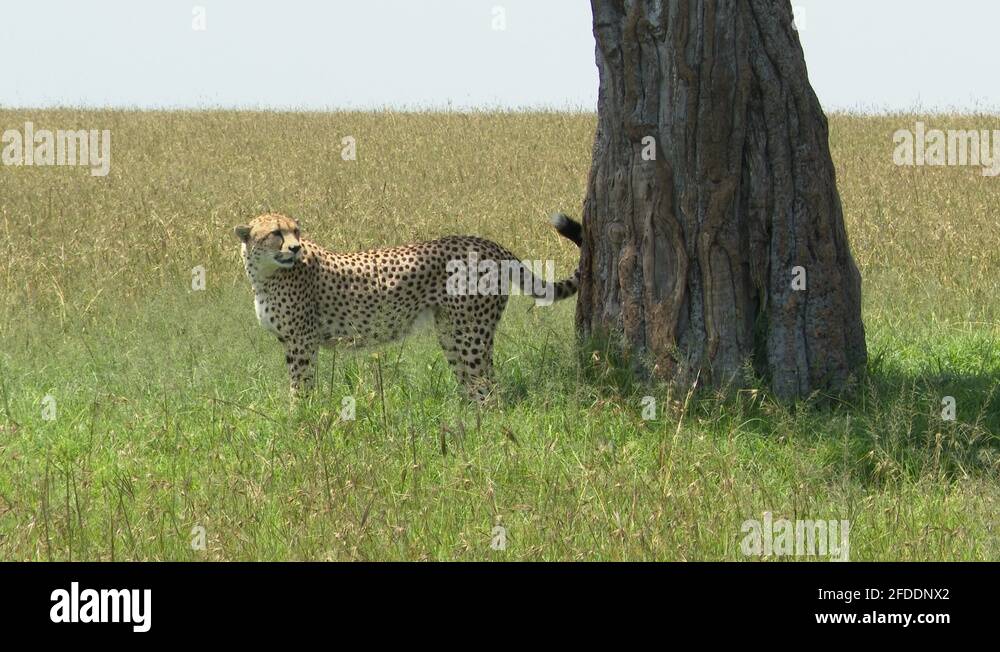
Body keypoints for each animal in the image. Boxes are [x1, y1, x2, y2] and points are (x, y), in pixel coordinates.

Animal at [233, 212, 583, 402]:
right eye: (276, 233)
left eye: (296, 231)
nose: (294, 247)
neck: (264, 274)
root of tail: (489, 243)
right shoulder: (295, 341)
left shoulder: (302, 341)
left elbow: (300, 384)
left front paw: (300, 420)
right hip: (452, 333)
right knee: (473, 382)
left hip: (472, 333)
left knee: (487, 385)